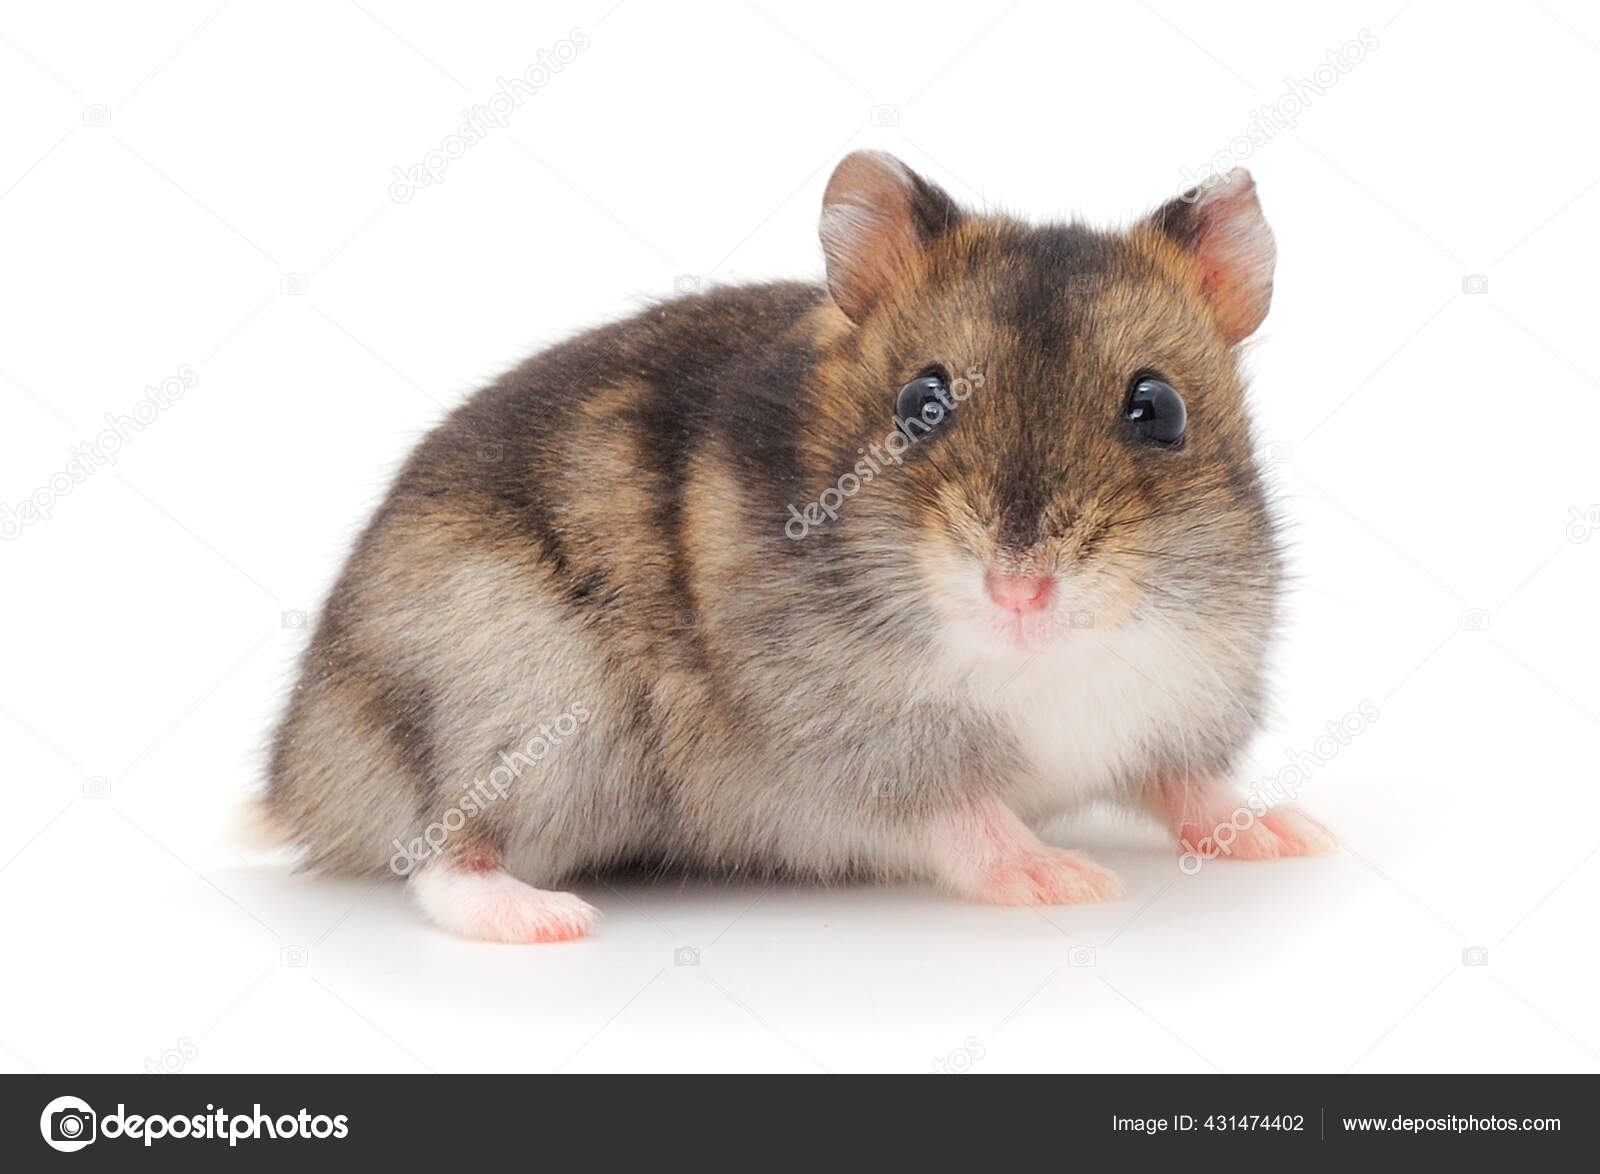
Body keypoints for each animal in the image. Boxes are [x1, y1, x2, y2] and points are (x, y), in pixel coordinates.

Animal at [258, 150, 1332, 943]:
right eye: (921, 403)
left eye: (1159, 410)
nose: (1019, 593)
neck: (1042, 667)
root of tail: (296, 781)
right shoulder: (854, 746)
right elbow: (962, 812)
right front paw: (1067, 879)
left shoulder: (1176, 700)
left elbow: (1187, 782)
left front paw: (1299, 832)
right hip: (510, 700)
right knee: (439, 853)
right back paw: (545, 918)